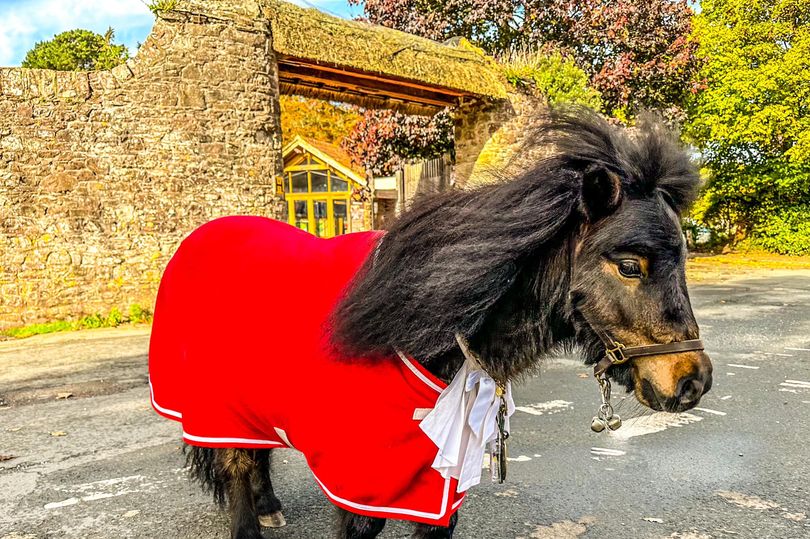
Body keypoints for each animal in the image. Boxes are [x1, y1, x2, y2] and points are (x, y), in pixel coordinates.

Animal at [148, 109, 713, 539]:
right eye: (630, 265)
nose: (693, 381)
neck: (417, 332)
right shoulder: (365, 489)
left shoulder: (435, 485)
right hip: (216, 410)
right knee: (238, 470)